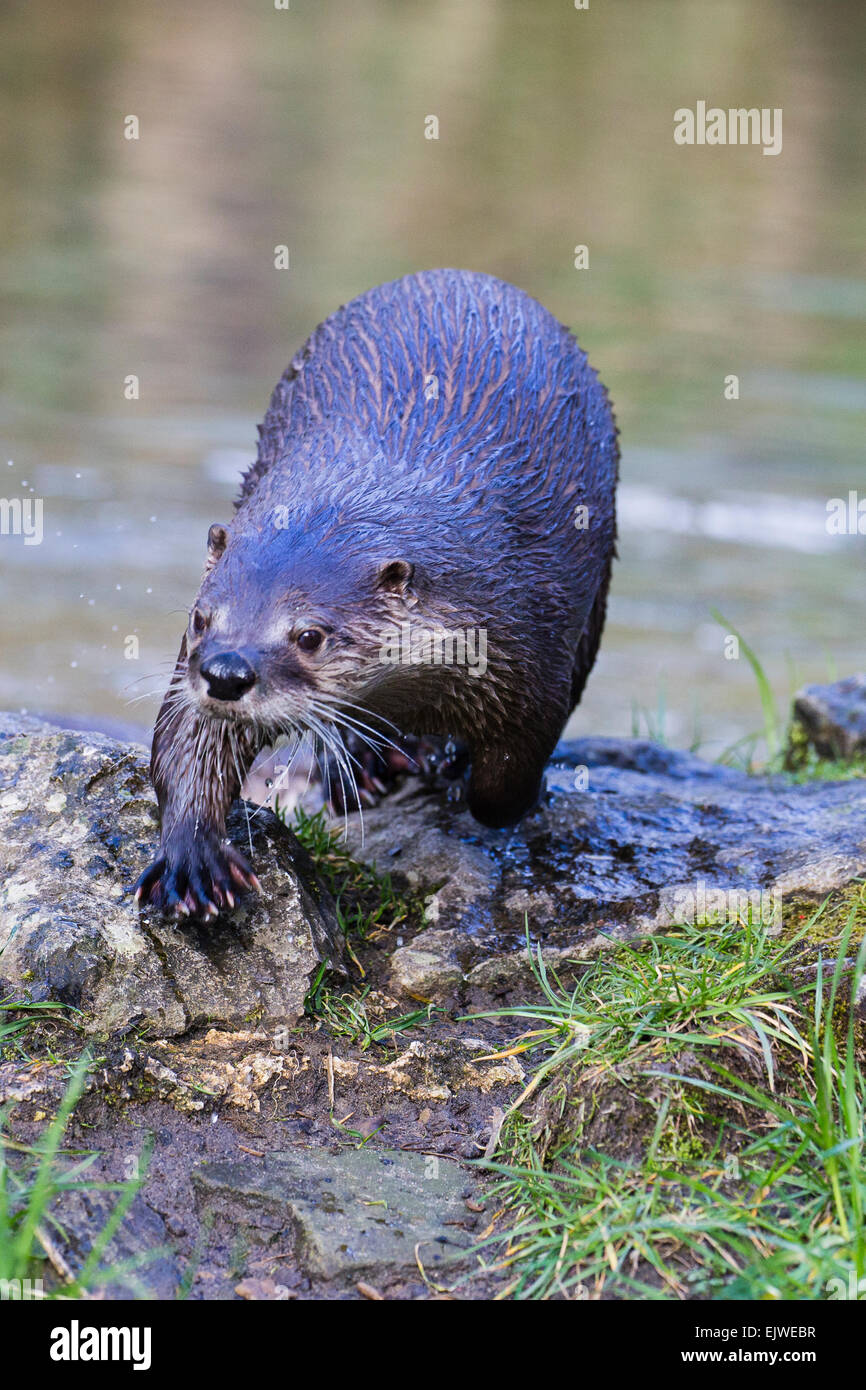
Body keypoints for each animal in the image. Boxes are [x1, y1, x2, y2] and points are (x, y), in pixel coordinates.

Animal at [135, 269, 619, 919]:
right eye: (201, 619)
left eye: (309, 635)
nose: (226, 674)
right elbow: (187, 742)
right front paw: (193, 860)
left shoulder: (532, 652)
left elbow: (507, 786)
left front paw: (463, 773)